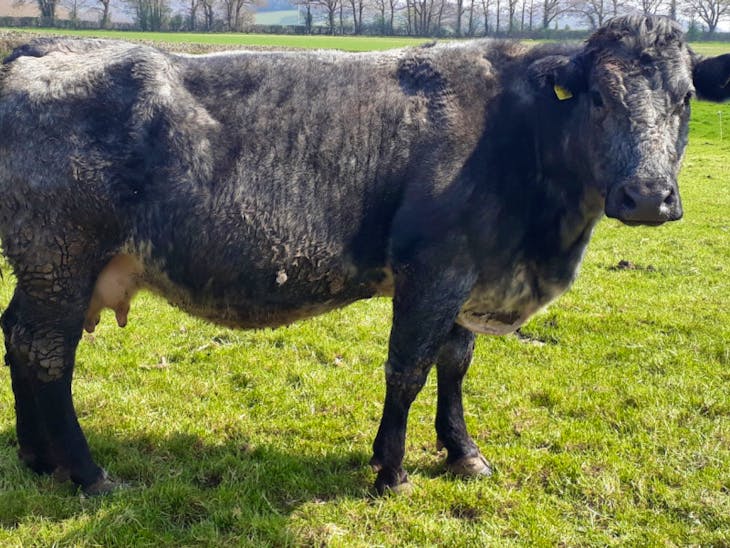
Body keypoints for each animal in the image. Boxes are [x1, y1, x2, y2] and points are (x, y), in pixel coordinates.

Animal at [0, 16, 728, 496]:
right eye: (600, 96)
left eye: (686, 97)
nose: (648, 196)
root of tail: (42, 46)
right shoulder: (434, 270)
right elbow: (407, 369)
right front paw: (392, 470)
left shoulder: (470, 273)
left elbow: (455, 364)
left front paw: (463, 454)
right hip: (60, 255)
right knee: (47, 351)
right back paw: (87, 473)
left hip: (44, 267)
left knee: (19, 337)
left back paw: (39, 458)